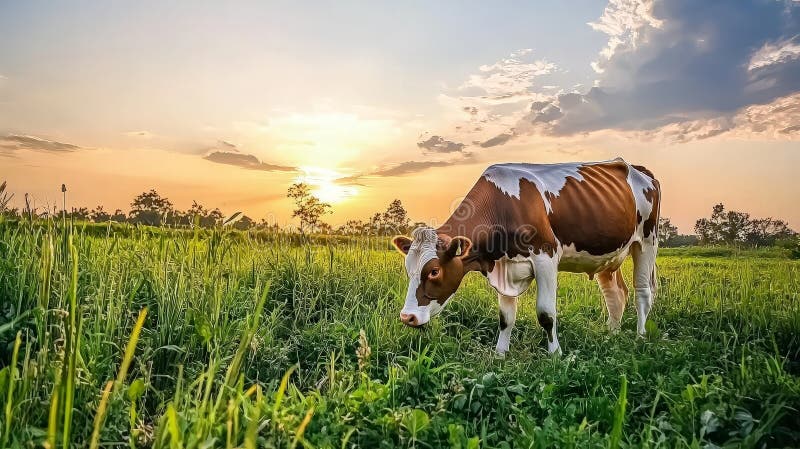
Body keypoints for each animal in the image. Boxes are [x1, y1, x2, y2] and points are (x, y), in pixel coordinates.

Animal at [391, 158, 660, 355]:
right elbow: (505, 317)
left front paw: (555, 354)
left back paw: (640, 337)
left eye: (434, 271)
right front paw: (500, 353)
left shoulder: (546, 258)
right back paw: (611, 335)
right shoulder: (503, 265)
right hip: (607, 255)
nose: (407, 317)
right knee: (616, 295)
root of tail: (637, 168)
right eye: (408, 269)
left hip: (647, 241)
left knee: (642, 292)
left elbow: (546, 314)